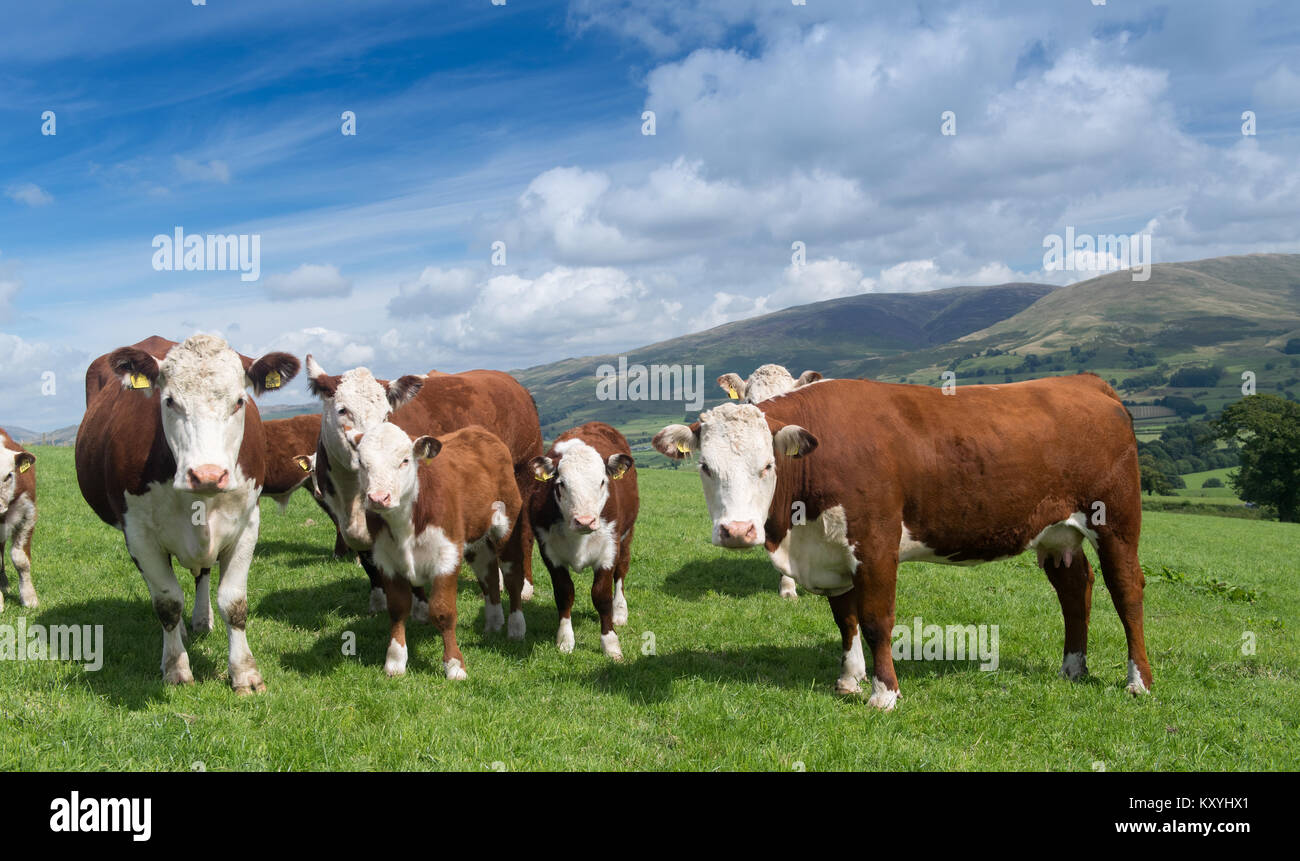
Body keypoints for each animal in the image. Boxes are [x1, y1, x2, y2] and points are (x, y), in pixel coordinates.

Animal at [75, 335, 300, 692]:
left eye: (239, 402)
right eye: (169, 401)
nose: (207, 474)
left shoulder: (247, 524)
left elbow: (234, 602)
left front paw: (245, 673)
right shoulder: (138, 533)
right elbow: (167, 603)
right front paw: (176, 667)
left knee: (202, 574)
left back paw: (201, 619)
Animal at [305, 357, 543, 621]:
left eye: (386, 415)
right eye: (343, 410)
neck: (352, 497)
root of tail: (511, 382)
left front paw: (419, 608)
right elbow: (368, 558)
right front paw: (377, 602)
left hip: (524, 473)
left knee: (523, 532)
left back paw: (525, 587)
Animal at [351, 422, 523, 680]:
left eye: (404, 460)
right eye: (362, 462)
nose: (378, 498)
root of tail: (477, 430)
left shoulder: (447, 555)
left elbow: (443, 612)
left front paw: (454, 665)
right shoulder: (386, 560)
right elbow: (397, 608)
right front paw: (395, 661)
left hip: (507, 526)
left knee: (512, 578)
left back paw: (516, 627)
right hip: (476, 540)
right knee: (489, 576)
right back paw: (493, 623)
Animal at [527, 422, 638, 659]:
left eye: (602, 481)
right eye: (561, 483)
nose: (585, 521)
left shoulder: (608, 550)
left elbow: (602, 597)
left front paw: (610, 643)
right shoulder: (549, 552)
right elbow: (564, 593)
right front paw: (565, 640)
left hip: (626, 537)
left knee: (621, 572)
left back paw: (620, 611)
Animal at [654, 374, 1150, 710]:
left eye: (767, 466)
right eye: (705, 467)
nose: (737, 531)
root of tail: (1084, 382)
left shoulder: (876, 543)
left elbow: (876, 620)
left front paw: (884, 692)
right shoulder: (833, 548)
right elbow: (845, 619)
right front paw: (849, 678)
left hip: (1116, 521)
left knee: (1127, 590)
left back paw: (1138, 681)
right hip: (1056, 532)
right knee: (1075, 590)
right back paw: (1073, 667)